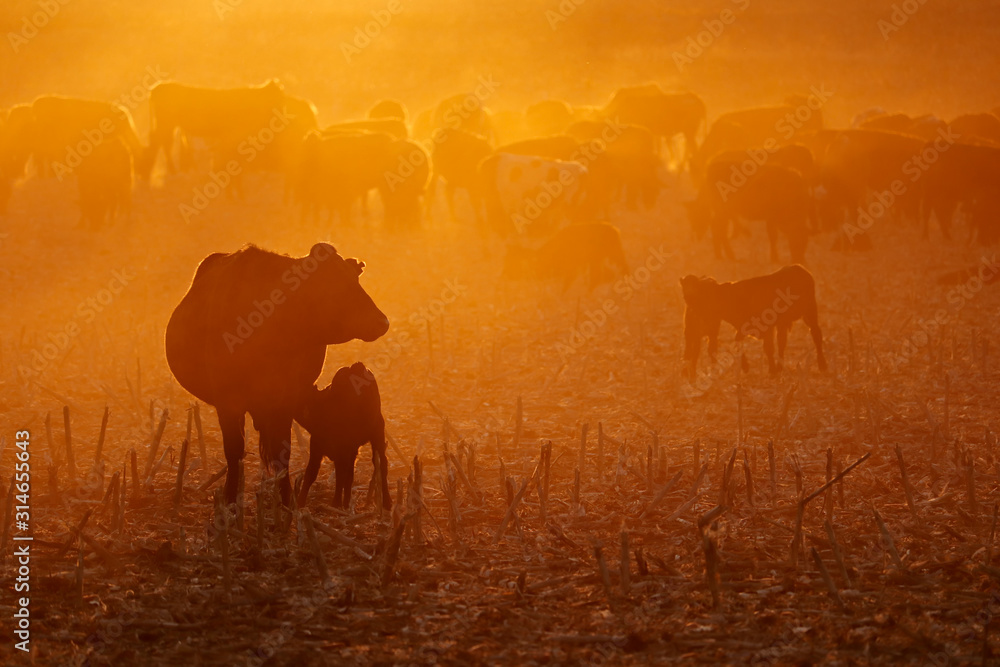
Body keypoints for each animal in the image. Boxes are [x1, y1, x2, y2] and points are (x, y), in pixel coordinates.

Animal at [294, 362, 389, 510]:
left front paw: (336, 504)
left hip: (369, 433)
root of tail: (356, 367)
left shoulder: (330, 445)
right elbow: (344, 475)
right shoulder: (336, 447)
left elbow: (330, 474)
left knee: (376, 464)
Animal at [680, 265, 826, 379]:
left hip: (810, 313)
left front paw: (771, 371)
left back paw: (822, 365)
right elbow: (738, 342)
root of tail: (800, 268)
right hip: (783, 323)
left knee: (816, 334)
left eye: (704, 294)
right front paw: (746, 367)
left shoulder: (767, 328)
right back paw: (780, 367)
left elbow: (768, 348)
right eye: (686, 296)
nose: (693, 313)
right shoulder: (742, 326)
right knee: (782, 342)